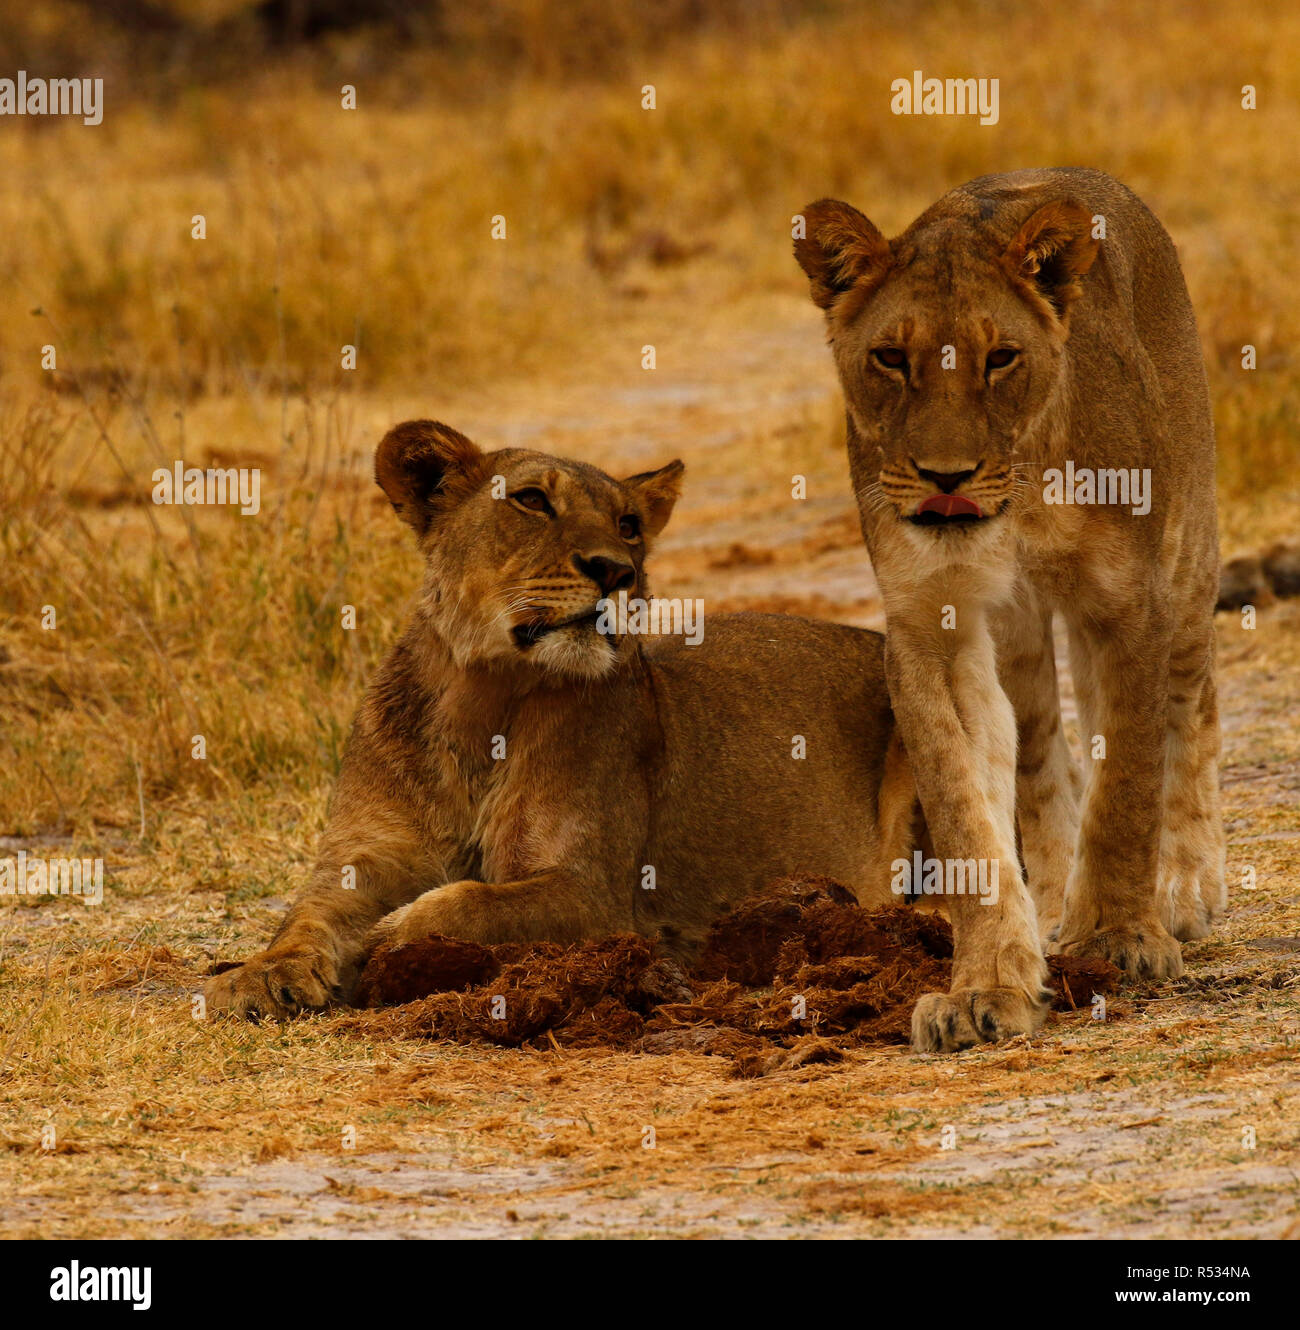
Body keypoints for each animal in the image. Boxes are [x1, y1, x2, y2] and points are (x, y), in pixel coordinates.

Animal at [204, 420, 918, 1018]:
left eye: (628, 524)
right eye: (531, 501)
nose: (616, 571)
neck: (482, 702)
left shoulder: (597, 897)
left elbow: (471, 904)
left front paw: (385, 940)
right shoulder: (360, 857)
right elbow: (305, 916)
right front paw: (260, 976)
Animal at [795, 167, 1224, 1051]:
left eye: (1000, 358)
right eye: (890, 357)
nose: (946, 478)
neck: (1020, 498)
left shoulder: (1128, 602)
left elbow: (1128, 784)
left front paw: (1120, 937)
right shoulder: (934, 623)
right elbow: (968, 815)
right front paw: (989, 984)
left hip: (1187, 558)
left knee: (1189, 703)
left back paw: (1185, 885)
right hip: (1025, 635)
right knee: (1040, 751)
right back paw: (1056, 903)